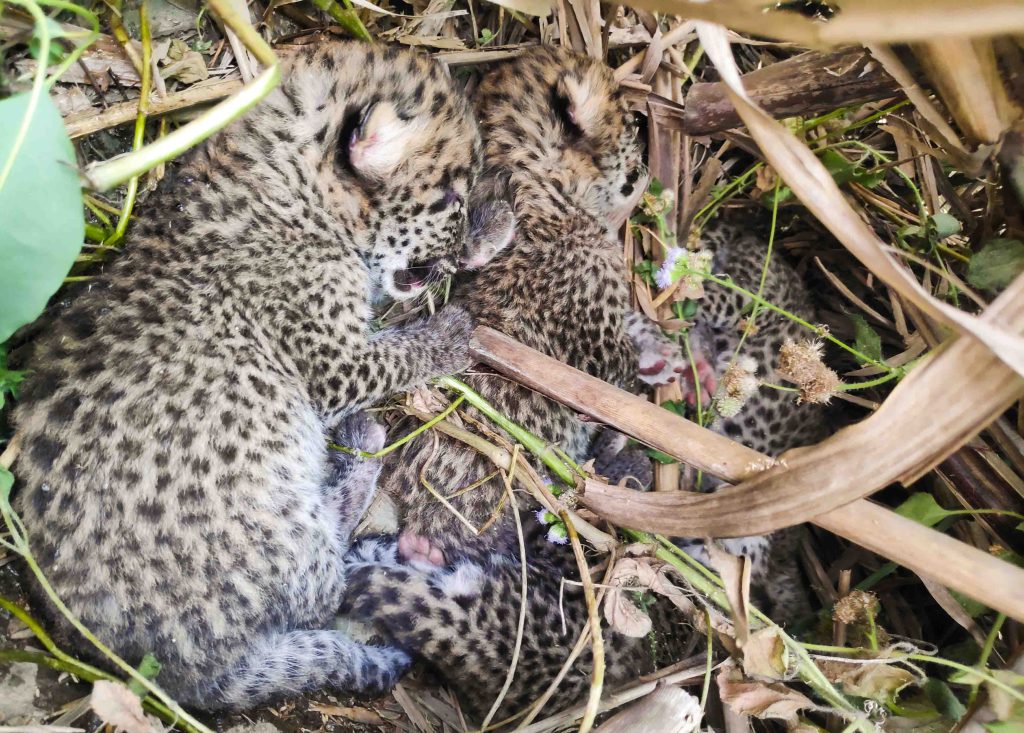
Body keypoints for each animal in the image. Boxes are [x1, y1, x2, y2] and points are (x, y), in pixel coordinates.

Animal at [8, 41, 487, 710]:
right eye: (449, 201)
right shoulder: (330, 367)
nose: (458, 257)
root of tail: (170, 675)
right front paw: (452, 334)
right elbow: (395, 353)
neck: (288, 174)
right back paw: (364, 457)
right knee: (325, 587)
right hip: (275, 521)